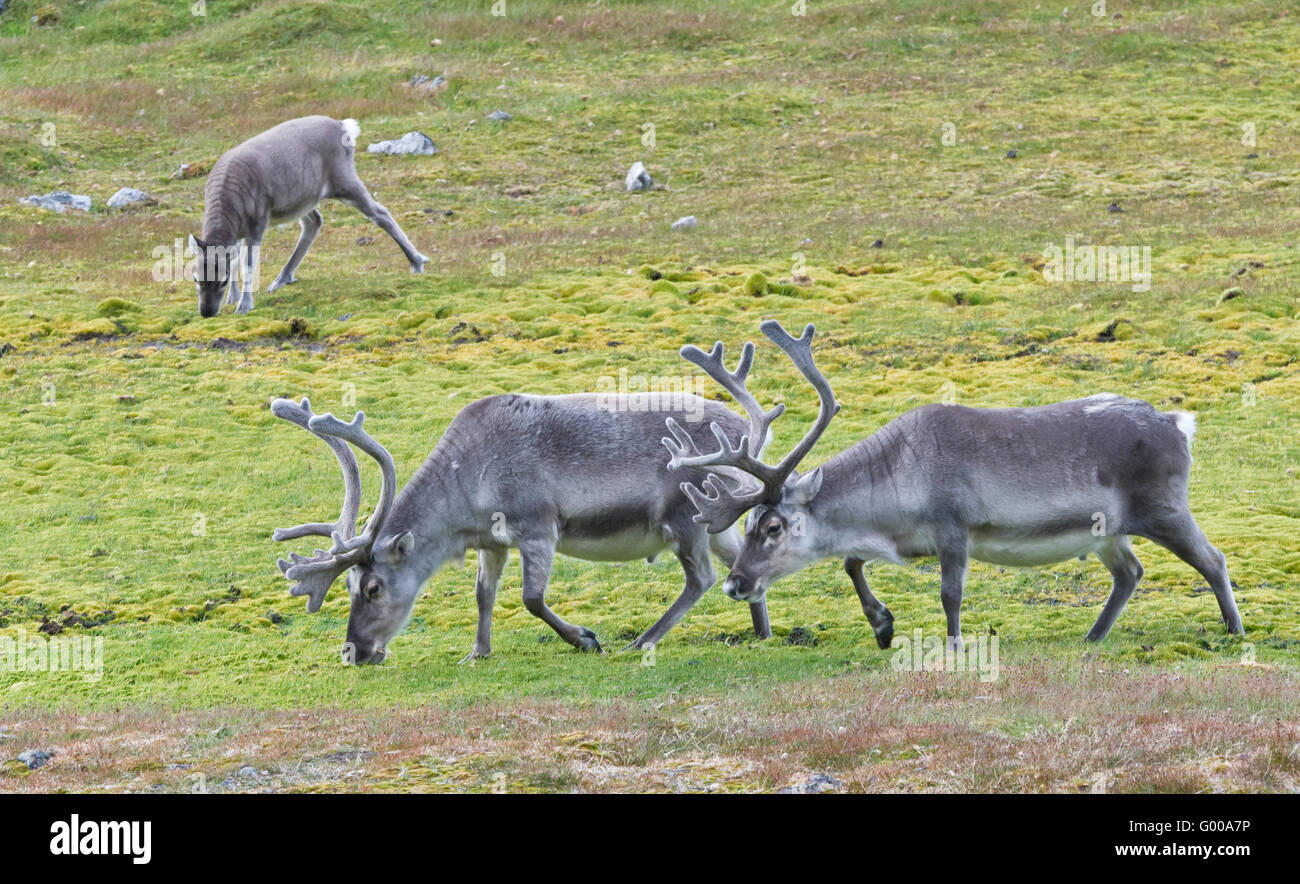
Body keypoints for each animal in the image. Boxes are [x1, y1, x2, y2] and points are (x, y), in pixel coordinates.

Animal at [187, 116, 428, 318]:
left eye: (222, 281)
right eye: (196, 277)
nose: (207, 312)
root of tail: (344, 126)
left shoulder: (258, 221)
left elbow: (247, 264)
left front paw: (244, 305)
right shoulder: (238, 233)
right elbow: (236, 259)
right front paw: (233, 298)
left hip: (344, 181)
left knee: (380, 213)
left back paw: (417, 261)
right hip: (305, 198)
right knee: (314, 222)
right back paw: (282, 278)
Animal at [269, 392, 773, 664]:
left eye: (373, 587)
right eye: (347, 584)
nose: (353, 651)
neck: (466, 491)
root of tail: (748, 432)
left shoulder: (538, 526)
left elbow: (532, 599)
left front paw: (585, 639)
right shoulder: (492, 541)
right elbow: (483, 595)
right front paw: (477, 651)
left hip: (687, 513)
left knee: (701, 578)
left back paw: (642, 640)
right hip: (716, 519)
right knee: (741, 565)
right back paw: (764, 633)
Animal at [663, 319, 1245, 651]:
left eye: (775, 527)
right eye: (750, 523)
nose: (736, 583)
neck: (894, 498)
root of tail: (1178, 424)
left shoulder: (953, 526)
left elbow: (950, 594)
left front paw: (954, 644)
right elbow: (851, 562)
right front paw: (882, 625)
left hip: (1163, 507)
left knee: (1213, 558)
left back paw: (1235, 630)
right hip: (1108, 532)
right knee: (1130, 572)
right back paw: (1092, 637)